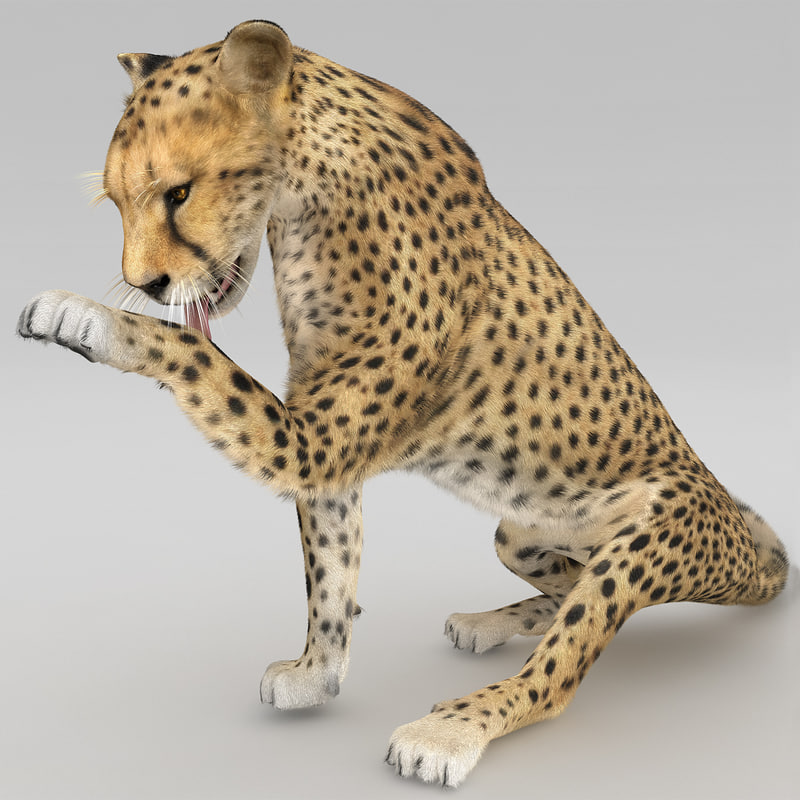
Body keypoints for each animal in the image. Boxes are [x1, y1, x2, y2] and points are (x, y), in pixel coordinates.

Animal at [16, 20, 789, 788]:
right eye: (117, 203)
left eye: (178, 192)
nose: (144, 283)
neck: (304, 199)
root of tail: (732, 525)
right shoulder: (327, 454)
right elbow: (330, 572)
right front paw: (317, 675)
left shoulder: (312, 440)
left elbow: (190, 351)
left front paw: (83, 316)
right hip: (519, 532)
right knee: (568, 584)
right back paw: (490, 621)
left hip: (650, 532)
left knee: (563, 664)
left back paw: (449, 730)